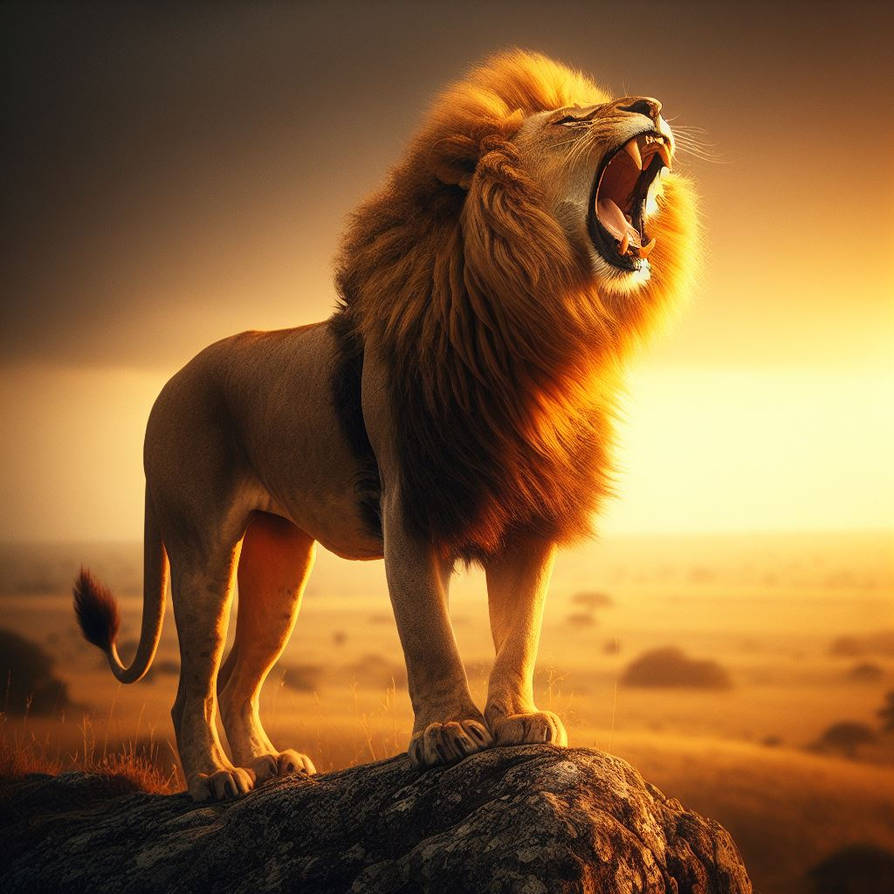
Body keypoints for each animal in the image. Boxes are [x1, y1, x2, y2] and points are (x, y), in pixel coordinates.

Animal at [74, 50, 696, 801]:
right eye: (573, 120)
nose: (653, 105)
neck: (536, 328)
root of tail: (167, 387)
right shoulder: (411, 502)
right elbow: (429, 634)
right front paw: (448, 732)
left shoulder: (526, 515)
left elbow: (519, 632)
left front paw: (518, 719)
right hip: (200, 547)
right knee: (191, 684)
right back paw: (216, 779)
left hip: (280, 563)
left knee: (235, 679)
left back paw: (270, 764)